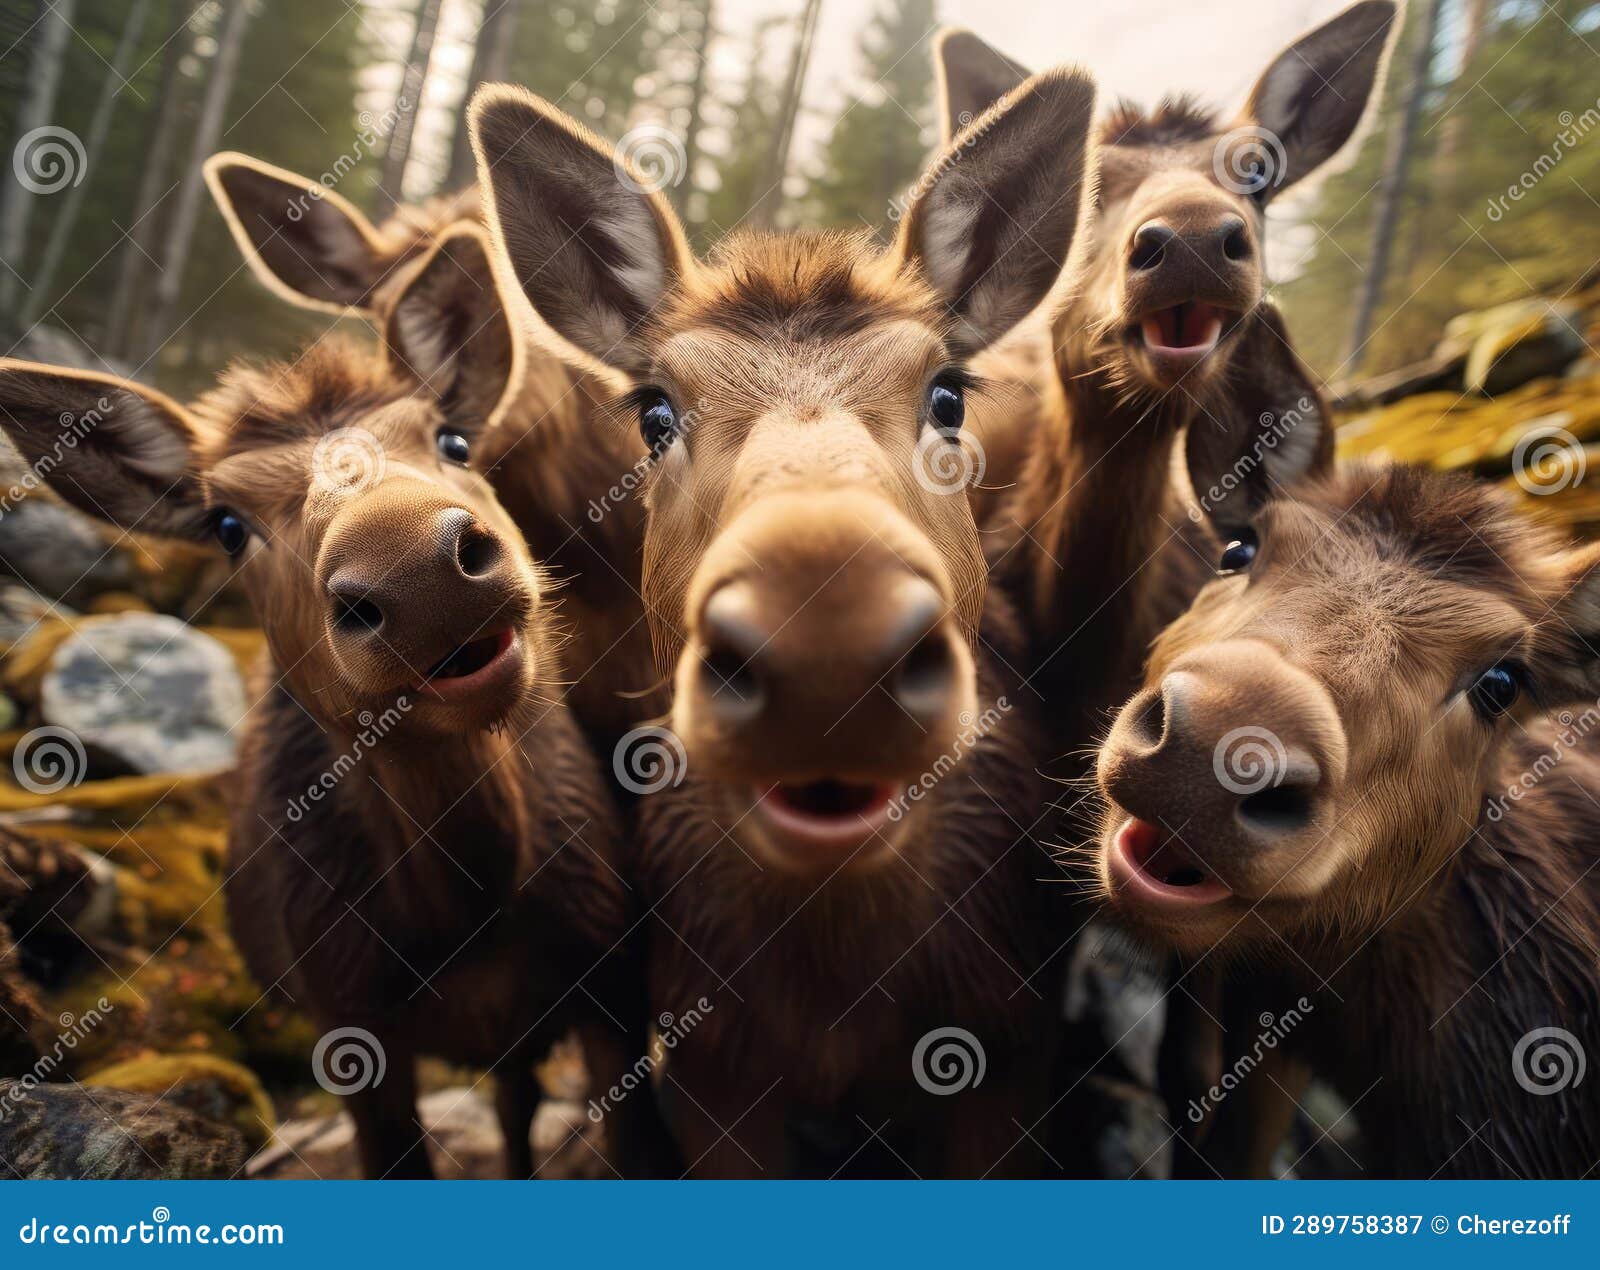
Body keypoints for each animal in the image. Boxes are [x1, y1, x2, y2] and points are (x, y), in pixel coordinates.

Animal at [0, 225, 673, 1179]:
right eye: (227, 525)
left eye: (452, 440)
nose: (416, 570)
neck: (467, 910)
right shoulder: (350, 1027)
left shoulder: (613, 982)